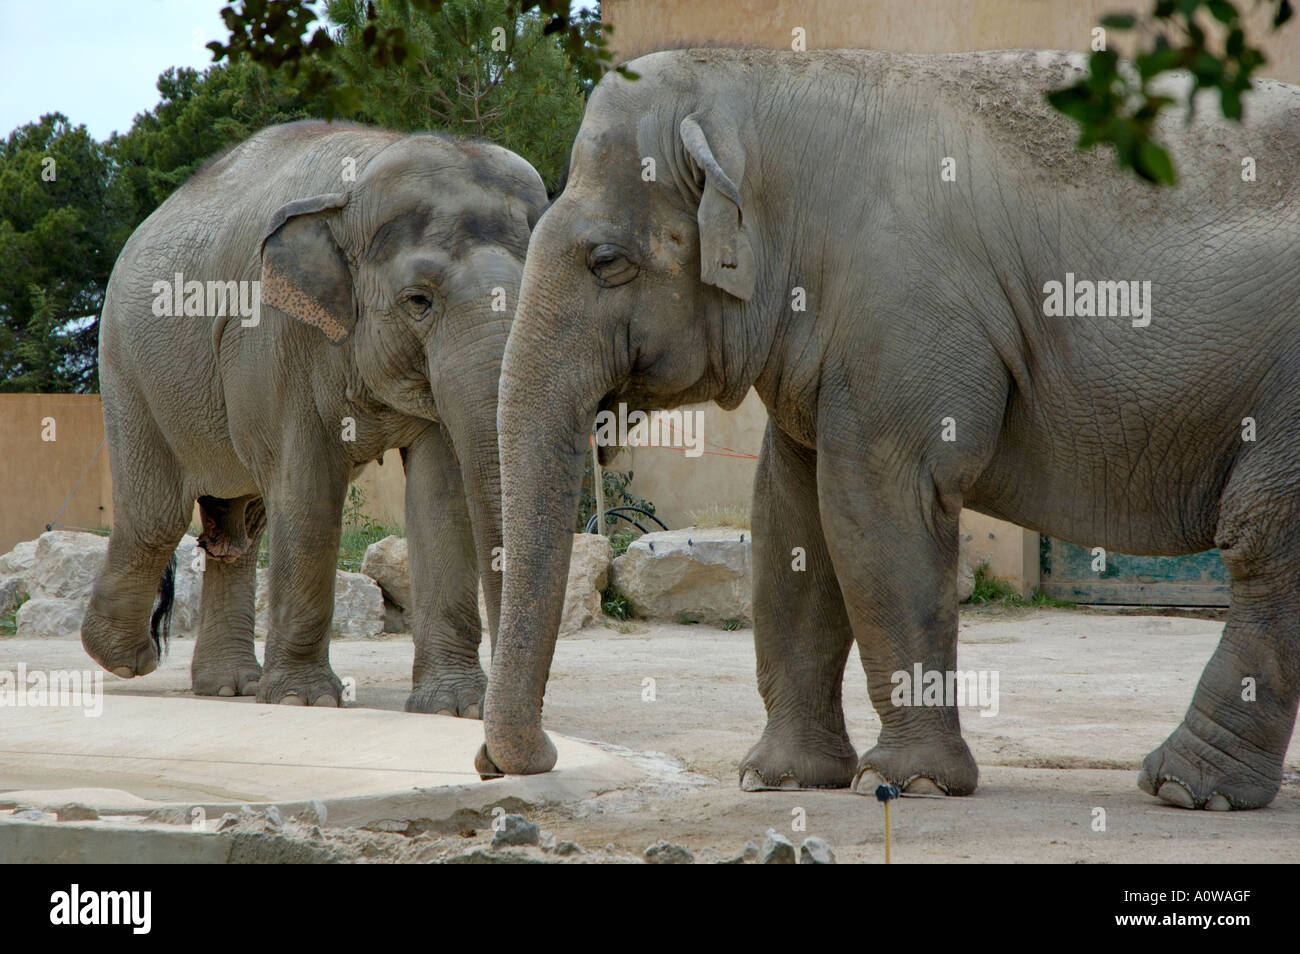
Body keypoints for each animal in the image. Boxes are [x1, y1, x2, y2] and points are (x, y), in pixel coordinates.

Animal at [83, 120, 546, 712]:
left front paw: (454, 707)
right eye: (418, 301)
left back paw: (230, 686)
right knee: (156, 515)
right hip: (127, 366)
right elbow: (307, 484)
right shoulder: (274, 336)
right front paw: (304, 701)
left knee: (238, 526)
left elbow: (441, 493)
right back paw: (128, 659)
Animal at [478, 48, 1300, 811]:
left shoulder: (904, 312)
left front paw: (909, 783)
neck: (759, 88)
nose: (511, 760)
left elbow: (875, 505)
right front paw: (779, 779)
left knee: (1264, 545)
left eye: (606, 261)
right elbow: (788, 520)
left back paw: (1184, 789)